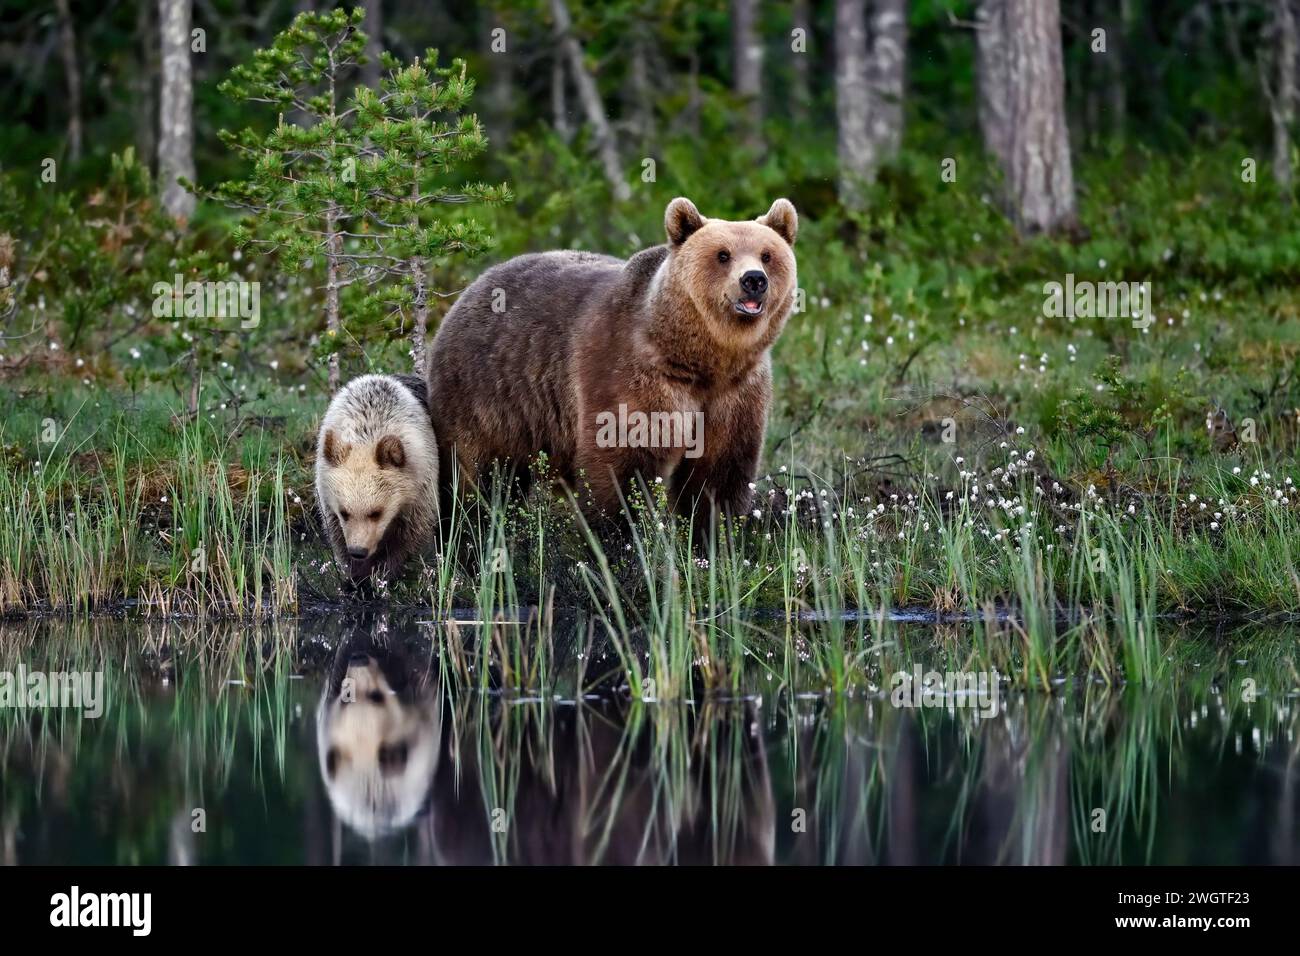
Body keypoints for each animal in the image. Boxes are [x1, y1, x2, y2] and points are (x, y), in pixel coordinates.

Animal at [314, 373, 439, 584]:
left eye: (376, 512)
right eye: (344, 512)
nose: (358, 551)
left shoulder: (419, 495)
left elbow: (405, 541)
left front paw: (382, 575)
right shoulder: (329, 508)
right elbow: (337, 536)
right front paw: (356, 577)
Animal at [425, 197, 797, 524]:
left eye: (767, 255)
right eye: (723, 255)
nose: (753, 280)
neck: (703, 360)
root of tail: (469, 290)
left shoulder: (737, 393)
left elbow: (718, 478)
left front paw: (715, 539)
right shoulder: (631, 373)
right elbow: (619, 468)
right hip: (487, 399)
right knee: (478, 477)